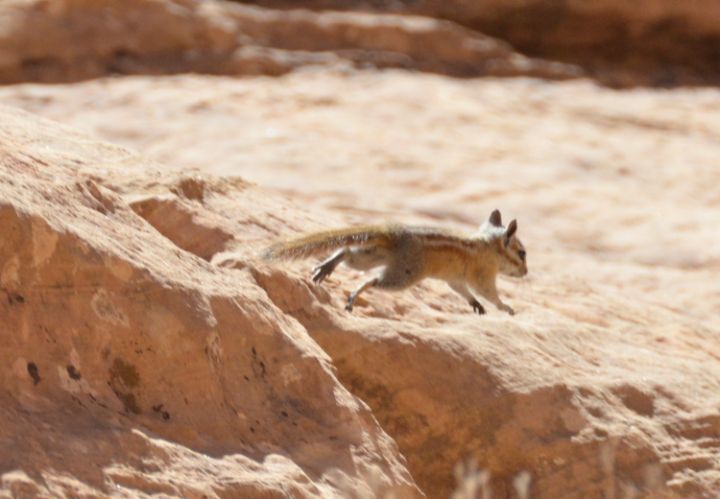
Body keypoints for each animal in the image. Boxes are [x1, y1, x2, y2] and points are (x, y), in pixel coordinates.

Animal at [263, 209, 527, 315]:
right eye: (522, 253)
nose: (526, 272)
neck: (488, 246)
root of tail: (394, 234)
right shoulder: (483, 275)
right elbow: (488, 293)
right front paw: (506, 307)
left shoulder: (456, 279)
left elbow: (462, 290)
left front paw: (475, 304)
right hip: (404, 275)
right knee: (371, 279)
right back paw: (353, 296)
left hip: (372, 254)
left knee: (348, 253)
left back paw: (325, 268)